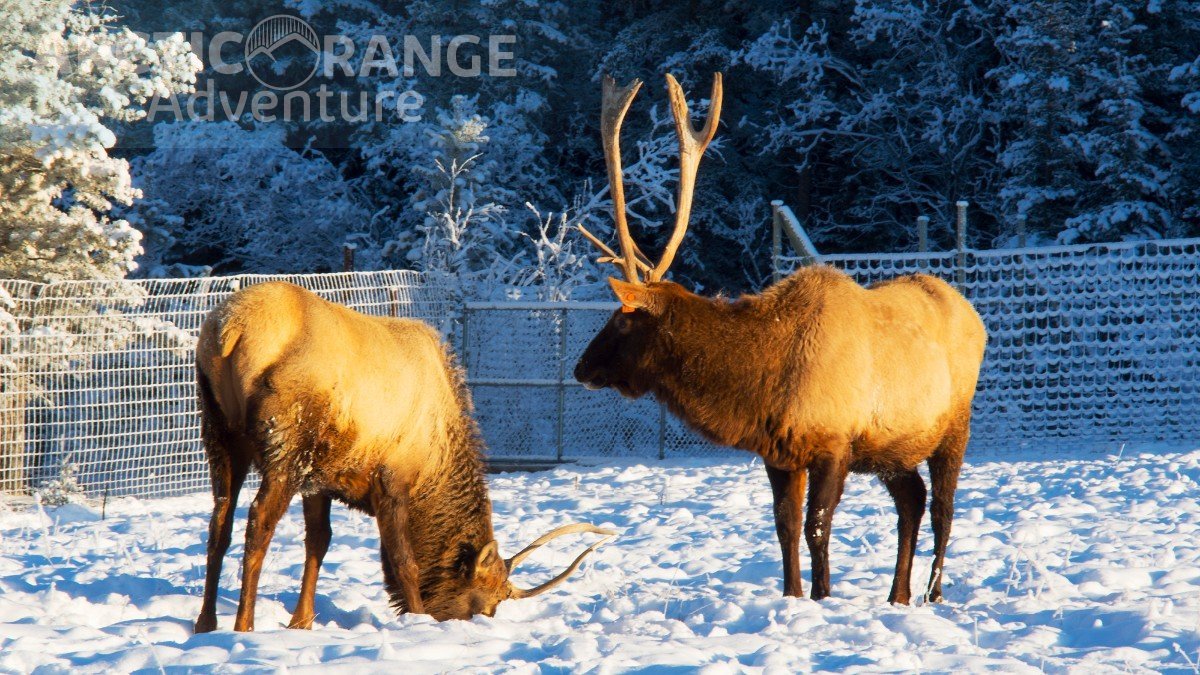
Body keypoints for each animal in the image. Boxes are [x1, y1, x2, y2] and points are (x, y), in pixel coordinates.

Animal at [193, 281, 614, 632]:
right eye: (487, 605)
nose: (475, 624)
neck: (435, 465)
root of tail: (229, 330)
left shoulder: (320, 479)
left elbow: (319, 542)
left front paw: (302, 622)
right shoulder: (390, 480)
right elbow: (403, 561)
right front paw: (418, 618)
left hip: (219, 432)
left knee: (220, 523)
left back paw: (206, 622)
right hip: (286, 445)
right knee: (258, 523)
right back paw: (243, 624)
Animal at [573, 73, 987, 605]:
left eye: (623, 319)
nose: (580, 367)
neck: (764, 383)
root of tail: (975, 315)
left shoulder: (835, 443)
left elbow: (817, 528)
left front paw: (822, 596)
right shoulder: (780, 454)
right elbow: (785, 527)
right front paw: (792, 596)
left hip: (954, 425)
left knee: (943, 509)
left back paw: (933, 594)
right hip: (892, 448)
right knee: (912, 501)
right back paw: (897, 595)